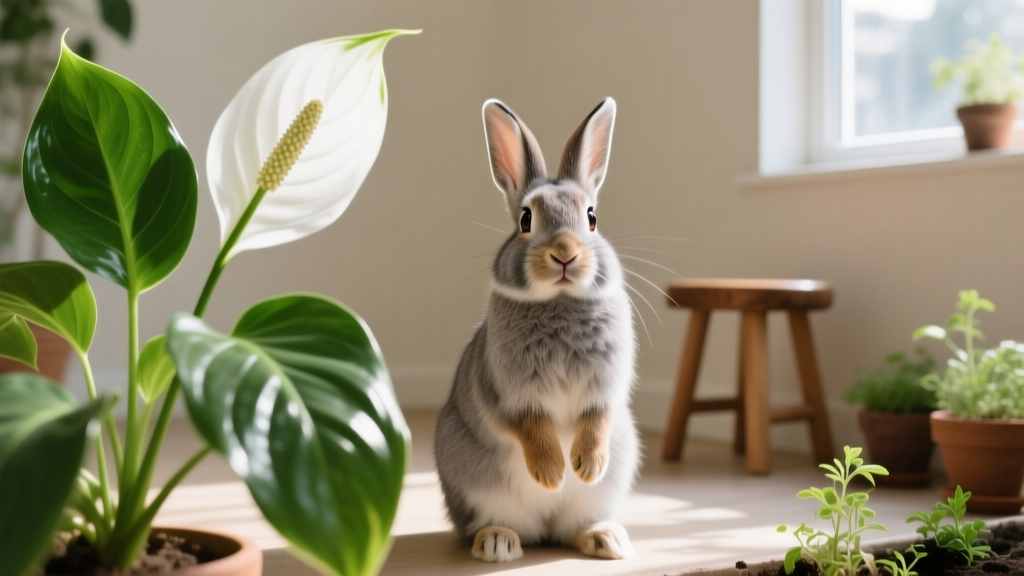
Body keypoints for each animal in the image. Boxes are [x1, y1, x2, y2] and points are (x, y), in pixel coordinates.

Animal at [434, 97, 639, 563]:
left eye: (592, 217)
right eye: (526, 219)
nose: (564, 252)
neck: (558, 302)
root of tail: (543, 530)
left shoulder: (605, 387)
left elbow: (596, 419)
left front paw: (585, 467)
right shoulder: (510, 393)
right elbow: (531, 428)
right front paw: (552, 473)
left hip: (605, 487)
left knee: (574, 528)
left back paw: (606, 539)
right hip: (477, 484)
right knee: (499, 523)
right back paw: (498, 543)